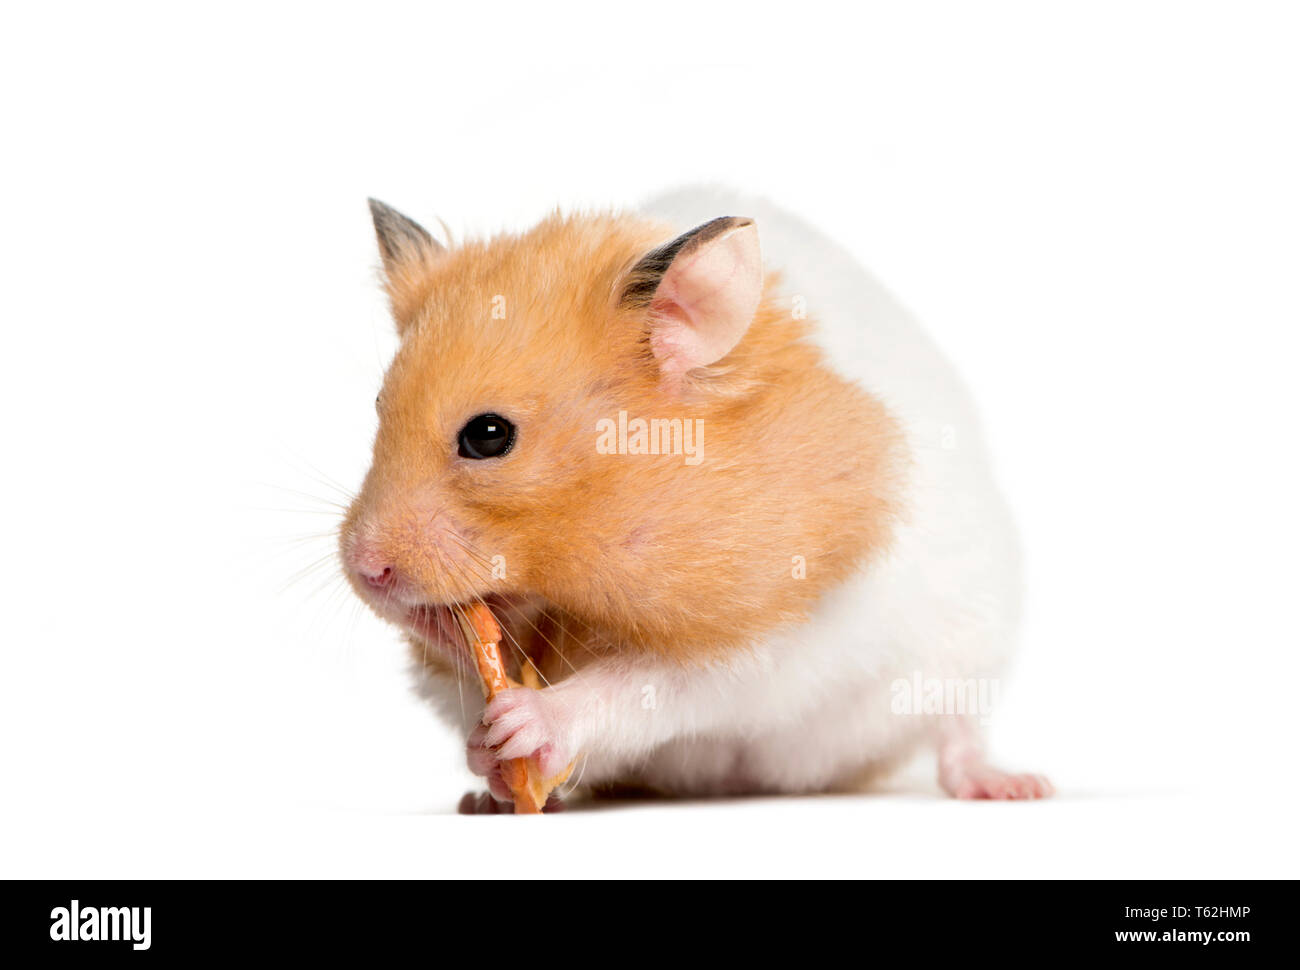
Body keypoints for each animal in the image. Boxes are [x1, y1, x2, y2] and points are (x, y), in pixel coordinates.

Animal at [339, 187, 1052, 811]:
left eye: (489, 436)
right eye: (377, 409)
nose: (365, 572)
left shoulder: (762, 631)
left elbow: (639, 686)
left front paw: (523, 724)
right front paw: (486, 755)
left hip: (967, 643)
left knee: (955, 729)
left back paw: (1012, 787)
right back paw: (482, 801)